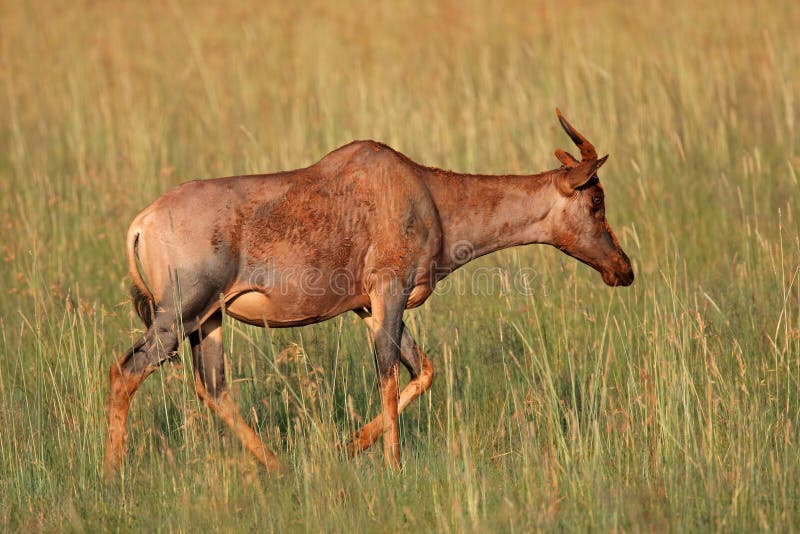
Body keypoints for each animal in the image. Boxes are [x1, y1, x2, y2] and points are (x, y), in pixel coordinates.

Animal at [104, 109, 633, 476]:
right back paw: (112, 475)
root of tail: (144, 220)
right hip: (180, 314)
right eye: (596, 198)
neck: (422, 190)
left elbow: (423, 371)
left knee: (211, 387)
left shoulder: (367, 307)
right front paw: (393, 466)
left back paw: (279, 468)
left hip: (208, 320)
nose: (623, 270)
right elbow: (388, 375)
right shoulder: (389, 293)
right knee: (126, 370)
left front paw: (350, 445)